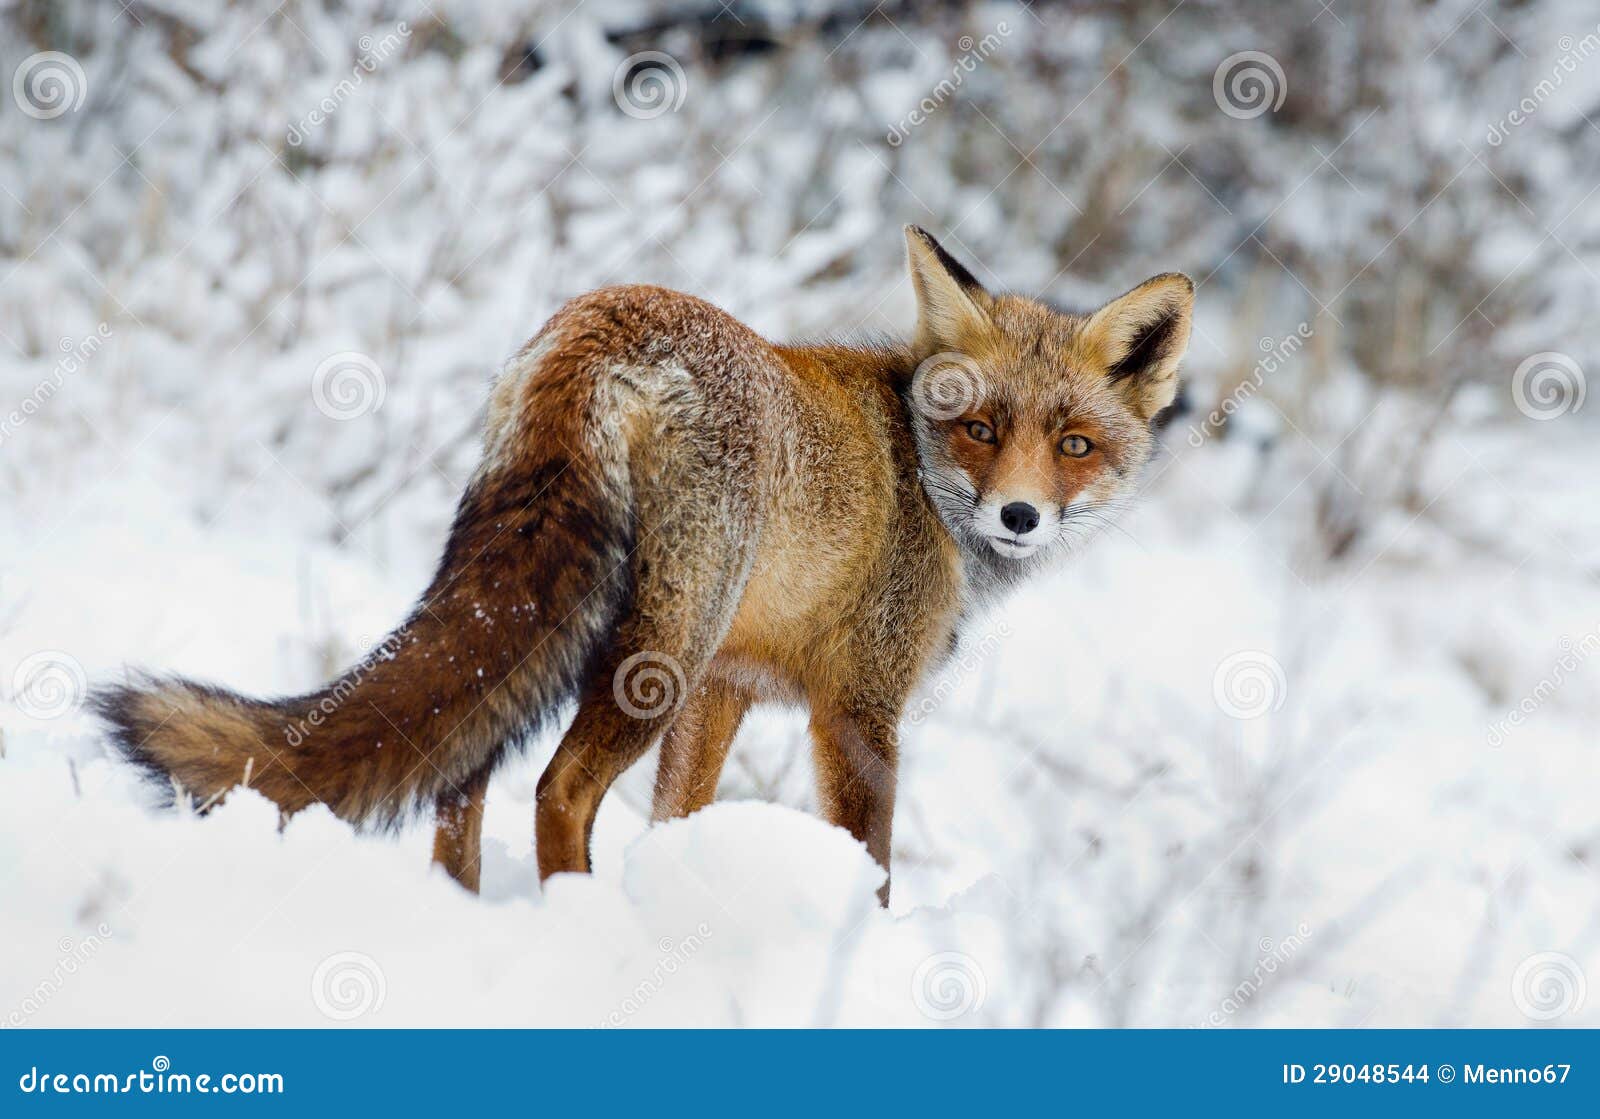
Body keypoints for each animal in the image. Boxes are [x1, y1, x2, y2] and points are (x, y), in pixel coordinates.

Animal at [94, 227, 1192, 904]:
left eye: (1074, 446)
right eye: (980, 428)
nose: (1019, 516)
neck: (914, 470)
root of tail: (604, 318)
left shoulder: (726, 689)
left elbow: (674, 821)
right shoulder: (857, 707)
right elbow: (870, 866)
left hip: (562, 619)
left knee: (462, 775)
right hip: (655, 650)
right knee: (555, 788)